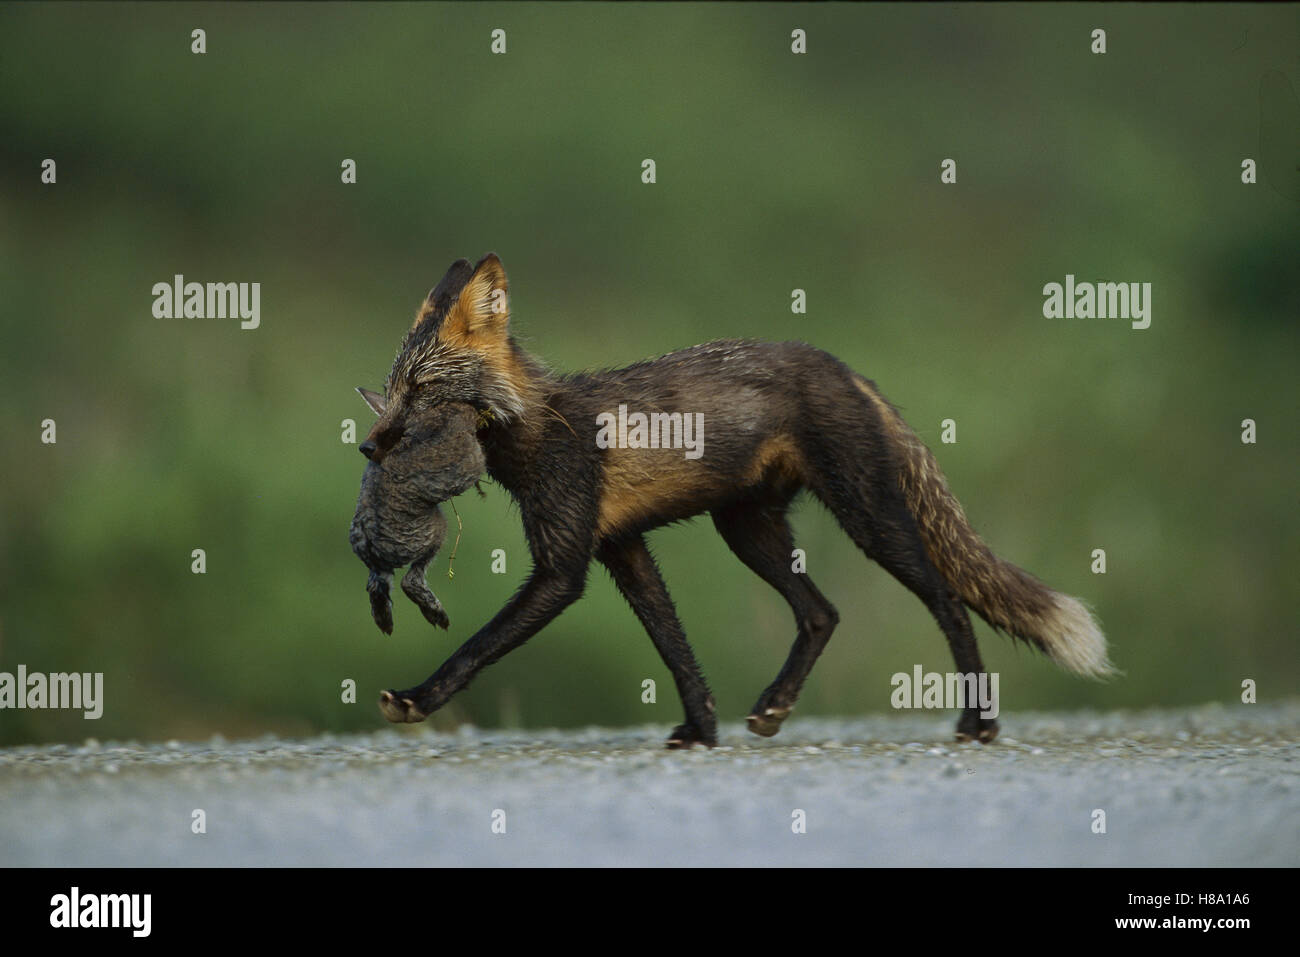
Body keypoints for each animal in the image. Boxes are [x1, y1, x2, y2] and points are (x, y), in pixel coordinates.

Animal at [355, 253, 1114, 748]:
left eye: (422, 391)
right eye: (391, 391)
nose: (366, 448)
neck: (540, 428)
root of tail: (844, 367)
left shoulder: (563, 567)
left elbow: (475, 648)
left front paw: (417, 698)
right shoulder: (622, 548)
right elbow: (675, 649)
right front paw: (701, 727)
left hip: (868, 519)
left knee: (948, 600)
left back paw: (978, 721)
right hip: (746, 529)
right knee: (822, 613)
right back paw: (775, 706)